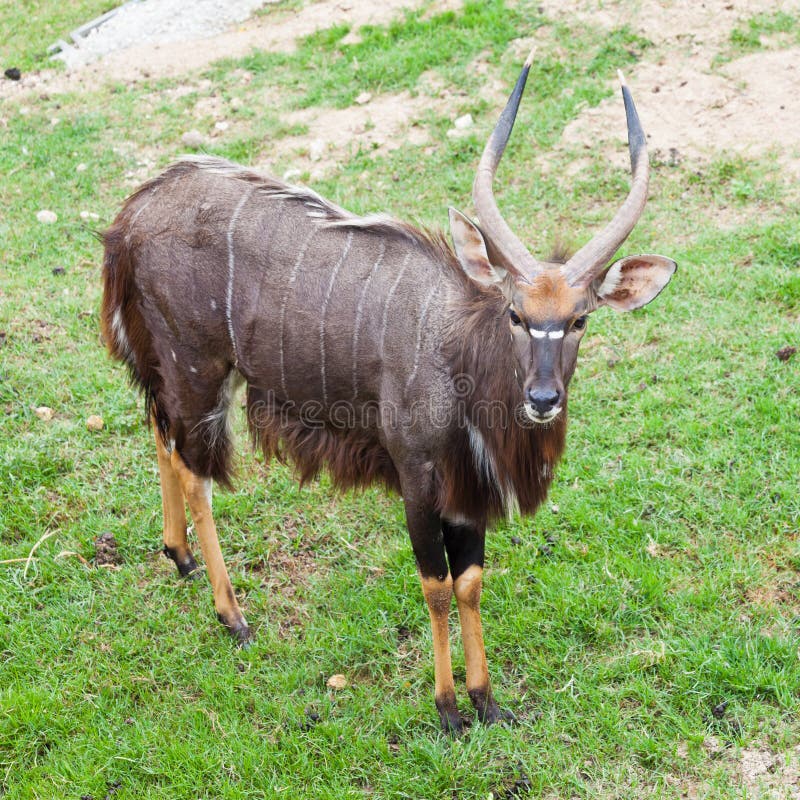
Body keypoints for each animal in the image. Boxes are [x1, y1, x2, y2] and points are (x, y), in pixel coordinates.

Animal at [101, 52, 676, 733]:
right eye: (514, 313)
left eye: (581, 318)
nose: (542, 398)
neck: (457, 348)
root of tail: (134, 213)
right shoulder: (417, 477)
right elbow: (436, 585)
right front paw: (448, 709)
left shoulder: (468, 494)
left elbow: (471, 581)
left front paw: (488, 702)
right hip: (198, 369)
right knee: (195, 469)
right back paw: (232, 615)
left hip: (176, 370)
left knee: (161, 433)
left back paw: (179, 557)